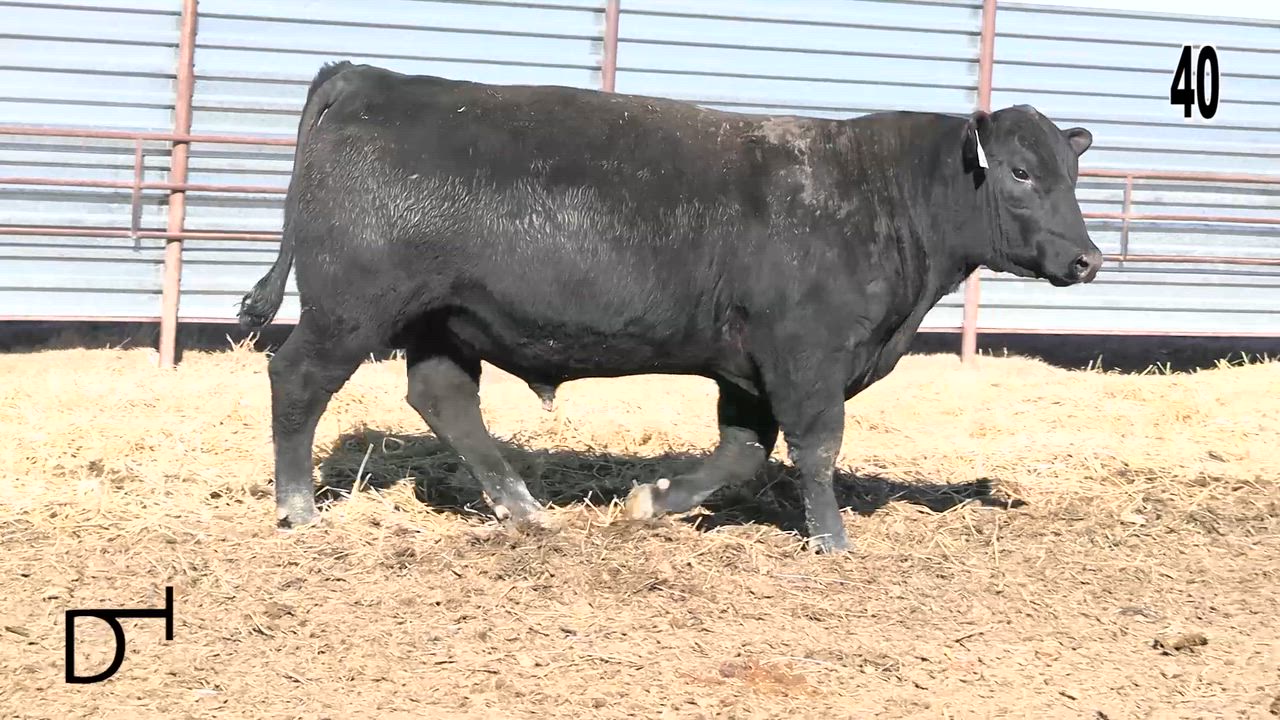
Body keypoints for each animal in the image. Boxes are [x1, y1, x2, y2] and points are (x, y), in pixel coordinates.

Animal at [238, 61, 1102, 554]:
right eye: (1021, 171)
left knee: (444, 399)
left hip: (442, 320)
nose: (1088, 259)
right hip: (351, 308)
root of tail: (370, 78)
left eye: (1071, 171)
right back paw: (298, 510)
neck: (877, 191)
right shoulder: (806, 356)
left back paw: (524, 510)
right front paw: (832, 542)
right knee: (298, 380)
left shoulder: (748, 369)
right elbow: (817, 448)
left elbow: (743, 452)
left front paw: (651, 503)